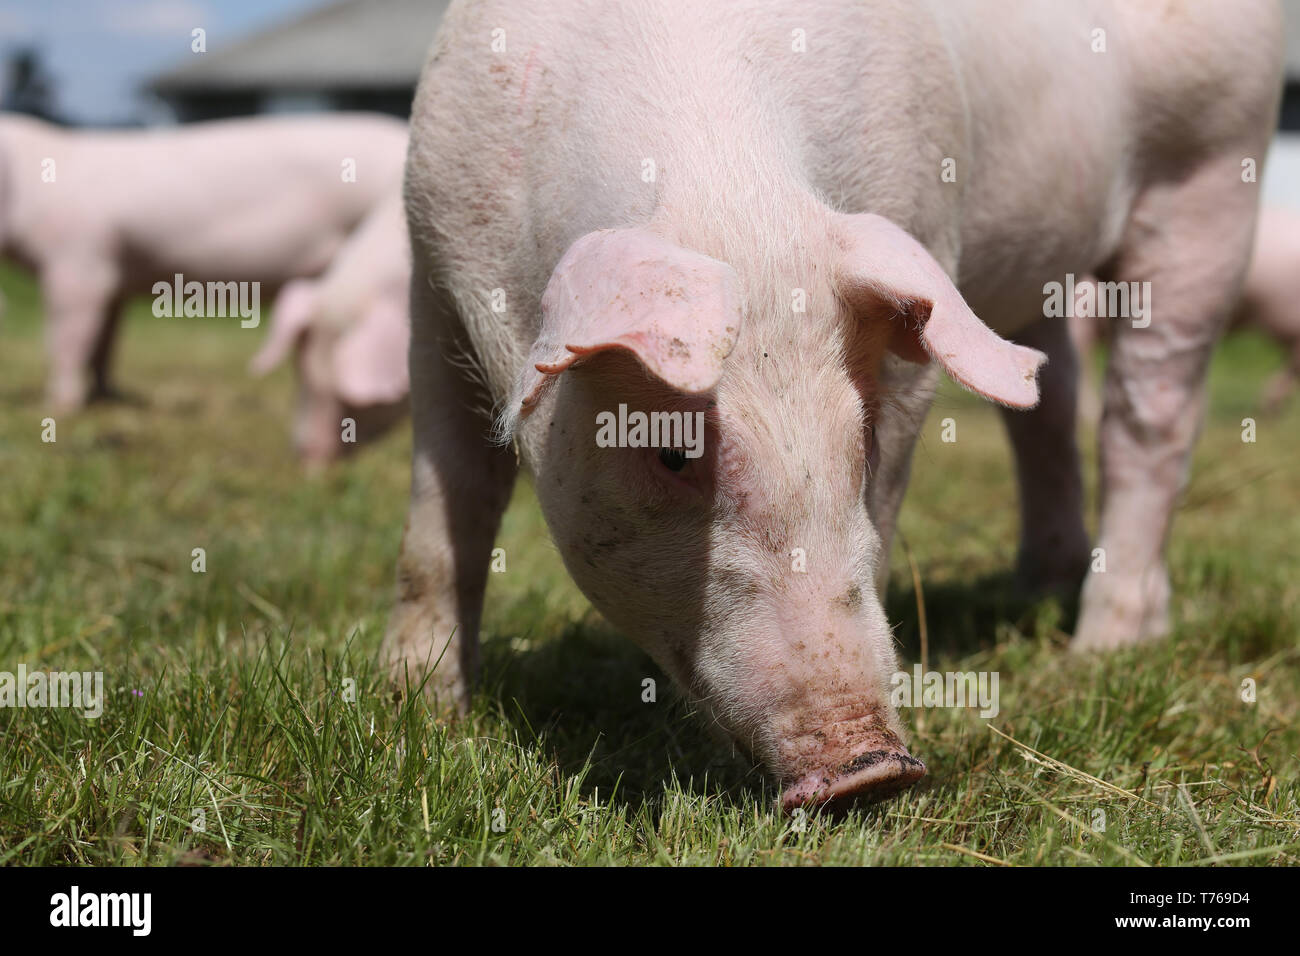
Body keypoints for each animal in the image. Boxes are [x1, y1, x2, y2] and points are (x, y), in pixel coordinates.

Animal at [0, 112, 408, 411]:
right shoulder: (112, 279)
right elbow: (105, 343)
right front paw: (107, 396)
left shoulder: (78, 265)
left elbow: (66, 340)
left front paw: (58, 408)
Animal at [385, 0, 1283, 811]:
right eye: (672, 452)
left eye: (863, 438)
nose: (870, 766)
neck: (732, 188)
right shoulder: (432, 266)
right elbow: (445, 510)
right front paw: (419, 712)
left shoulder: (924, 243)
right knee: (1045, 396)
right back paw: (1039, 586)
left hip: (1212, 166)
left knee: (1149, 413)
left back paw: (1100, 647)